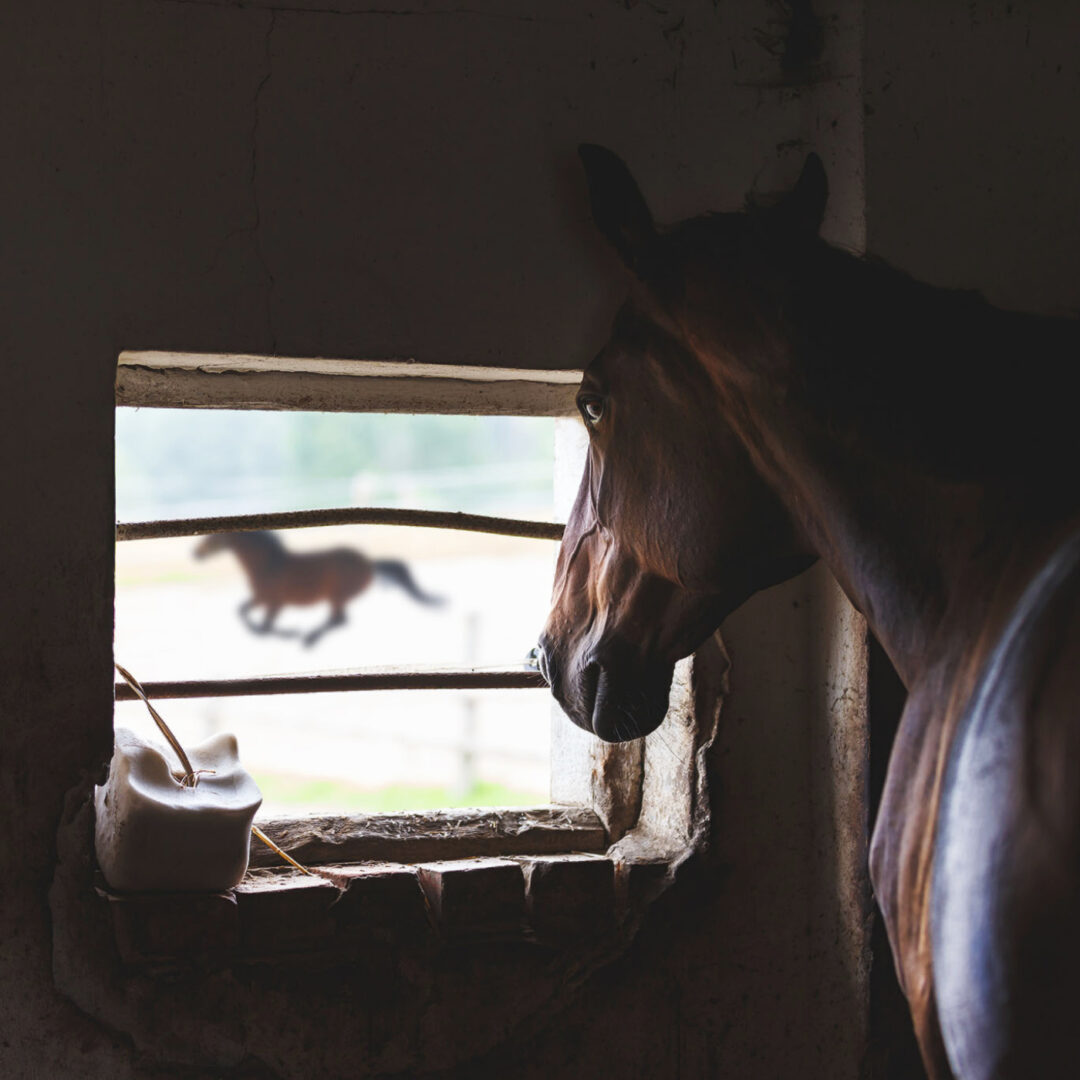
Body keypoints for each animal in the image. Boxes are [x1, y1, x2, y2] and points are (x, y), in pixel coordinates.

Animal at [195, 530, 444, 647]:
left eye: (214, 537)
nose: (195, 553)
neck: (269, 565)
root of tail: (369, 564)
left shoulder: (274, 603)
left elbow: (264, 628)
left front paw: (292, 633)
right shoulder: (261, 599)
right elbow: (243, 613)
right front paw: (287, 632)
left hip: (337, 596)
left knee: (339, 620)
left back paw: (309, 639)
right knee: (338, 620)